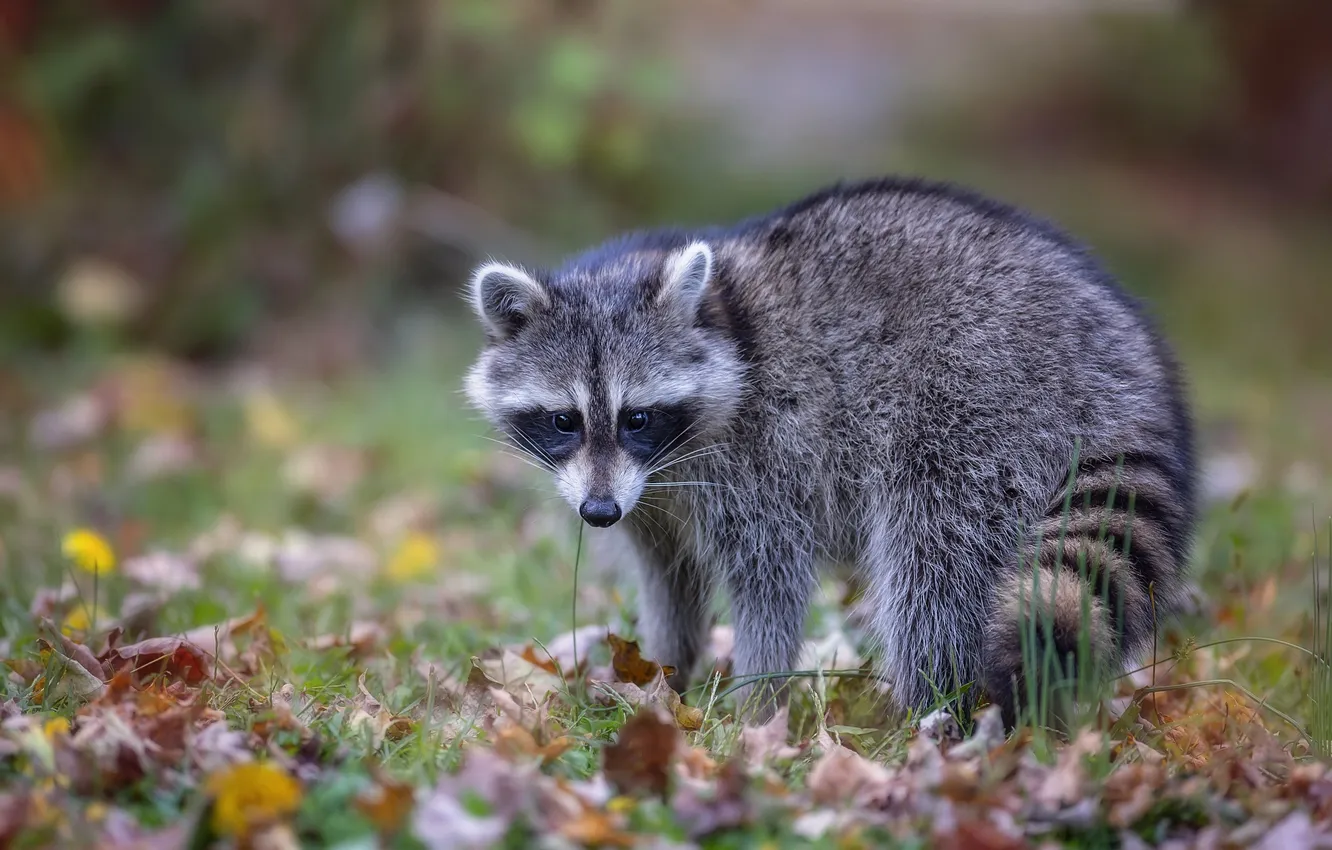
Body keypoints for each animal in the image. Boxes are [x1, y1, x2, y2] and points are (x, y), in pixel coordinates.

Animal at [462, 177, 1196, 727]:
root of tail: (1121, 360)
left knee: (932, 564)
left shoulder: (760, 458)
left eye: (636, 417)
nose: (597, 514)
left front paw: (754, 707)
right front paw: (664, 678)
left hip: (976, 409)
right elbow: (671, 579)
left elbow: (771, 581)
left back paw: (929, 713)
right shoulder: (650, 502)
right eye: (563, 421)